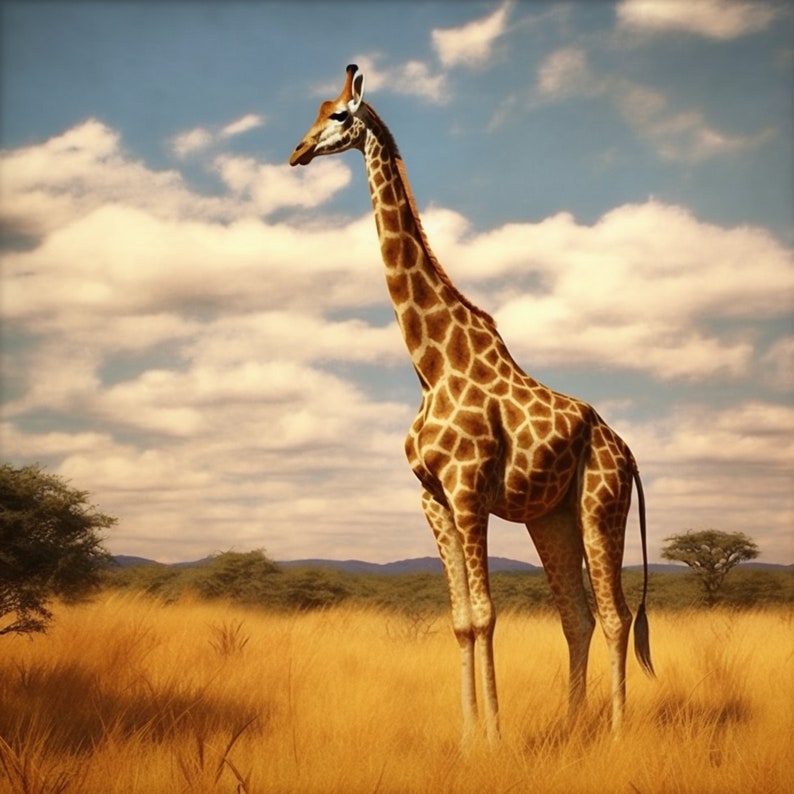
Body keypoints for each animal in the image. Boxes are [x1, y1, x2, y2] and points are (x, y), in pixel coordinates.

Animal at [290, 64, 654, 743]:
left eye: (340, 116)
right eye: (317, 110)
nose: (297, 152)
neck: (431, 366)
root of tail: (629, 453)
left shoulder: (466, 491)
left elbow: (485, 615)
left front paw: (494, 740)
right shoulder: (432, 497)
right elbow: (461, 620)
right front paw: (465, 738)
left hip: (602, 507)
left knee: (616, 615)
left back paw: (617, 734)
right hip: (551, 517)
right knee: (578, 616)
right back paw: (572, 727)